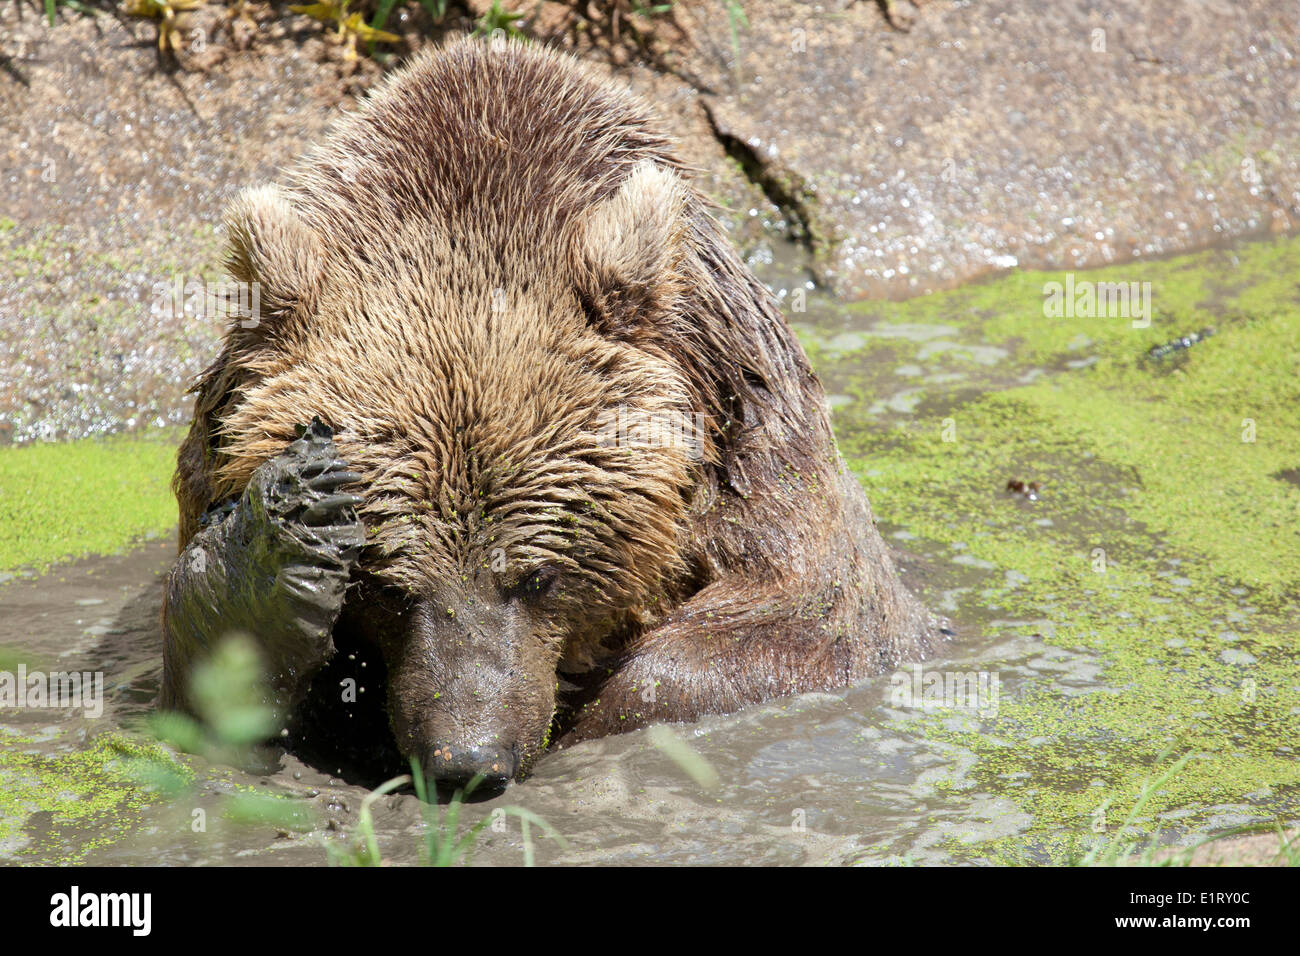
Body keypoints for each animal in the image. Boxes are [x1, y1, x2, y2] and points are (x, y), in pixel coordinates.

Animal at [159, 36, 944, 791]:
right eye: (383, 586)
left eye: (540, 576)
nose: (467, 759)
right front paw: (277, 541)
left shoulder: (754, 436)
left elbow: (805, 623)